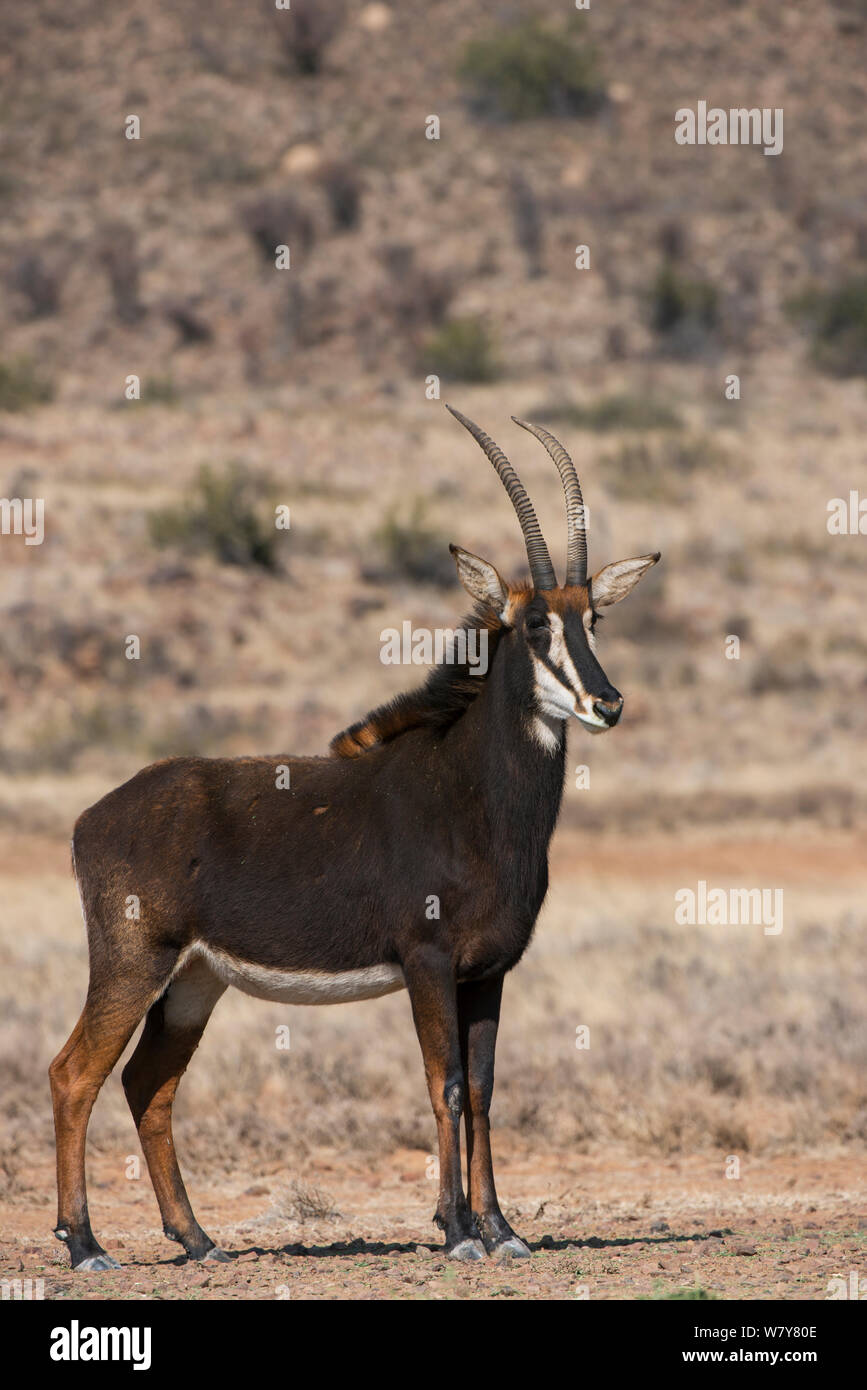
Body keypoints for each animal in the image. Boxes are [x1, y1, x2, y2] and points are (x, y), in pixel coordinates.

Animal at [49, 406, 660, 1270]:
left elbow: (483, 1089)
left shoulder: (488, 972)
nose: (606, 702)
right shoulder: (427, 962)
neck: (471, 797)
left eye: (593, 618)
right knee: (74, 1076)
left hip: (194, 981)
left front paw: (503, 1230)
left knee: (148, 1085)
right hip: (133, 964)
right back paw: (85, 1244)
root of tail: (91, 818)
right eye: (534, 622)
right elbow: (444, 1084)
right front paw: (459, 1232)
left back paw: (197, 1240)